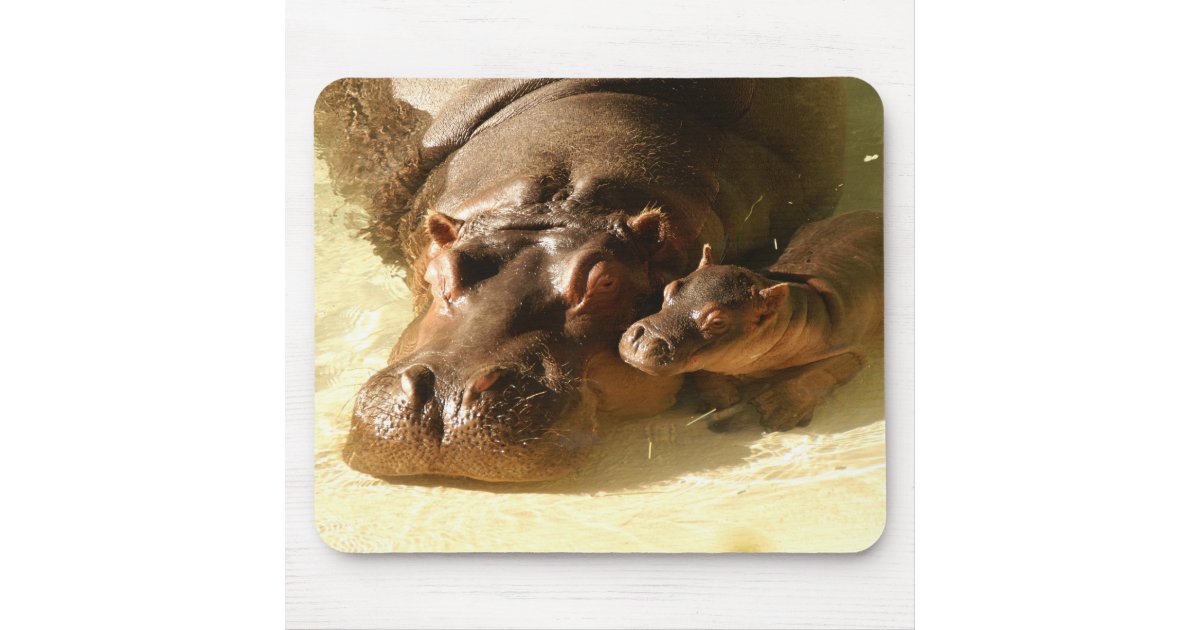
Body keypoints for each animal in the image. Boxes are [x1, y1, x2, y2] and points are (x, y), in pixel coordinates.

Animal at [619, 212, 884, 431]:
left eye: (718, 322)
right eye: (670, 288)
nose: (643, 340)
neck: (798, 306)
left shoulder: (850, 348)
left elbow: (817, 373)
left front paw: (777, 410)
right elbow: (706, 373)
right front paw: (719, 401)